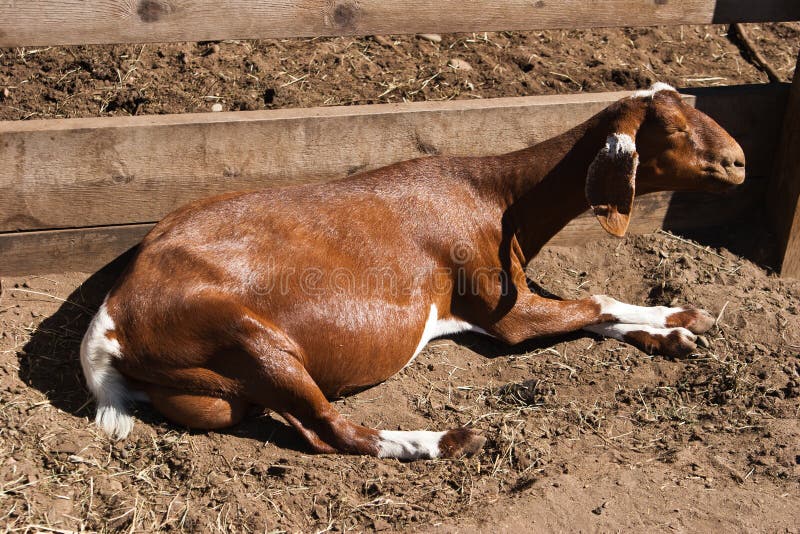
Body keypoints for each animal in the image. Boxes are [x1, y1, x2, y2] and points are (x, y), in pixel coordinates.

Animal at [80, 83, 745, 459]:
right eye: (674, 129)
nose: (739, 161)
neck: (496, 197)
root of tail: (111, 319)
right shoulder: (500, 307)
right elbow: (596, 301)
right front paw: (681, 320)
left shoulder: (493, 304)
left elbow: (587, 310)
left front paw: (676, 328)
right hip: (245, 337)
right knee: (328, 429)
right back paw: (447, 440)